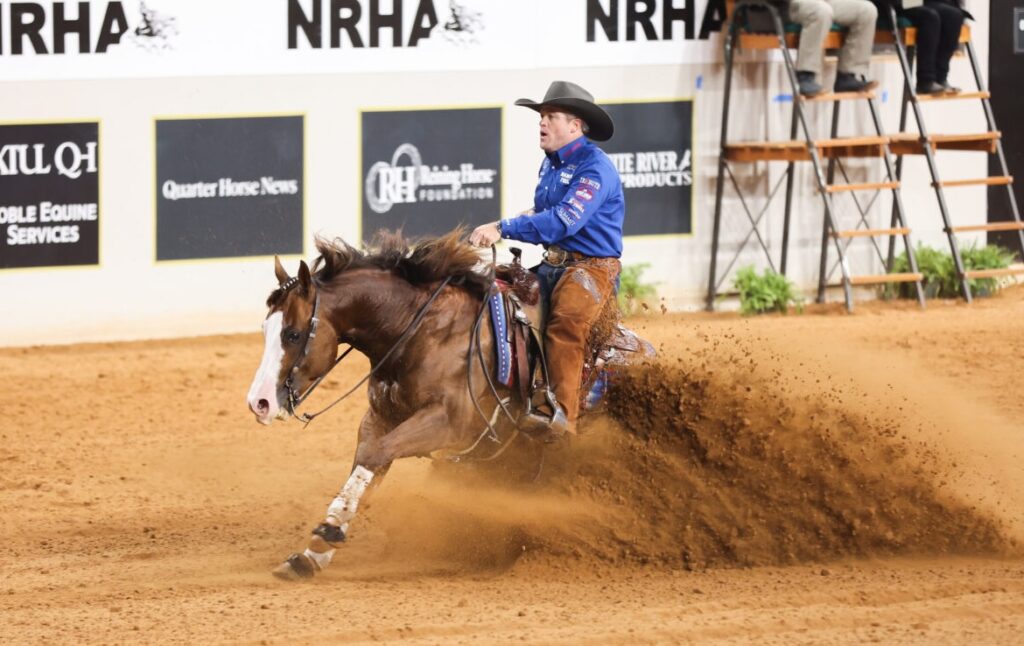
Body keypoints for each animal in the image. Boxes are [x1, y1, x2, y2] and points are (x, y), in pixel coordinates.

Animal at [246, 229, 649, 580]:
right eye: (266, 329)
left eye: (293, 333)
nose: (258, 402)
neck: (421, 329)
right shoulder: (380, 418)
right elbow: (368, 462)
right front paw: (311, 556)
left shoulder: (446, 423)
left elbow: (377, 455)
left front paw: (328, 531)